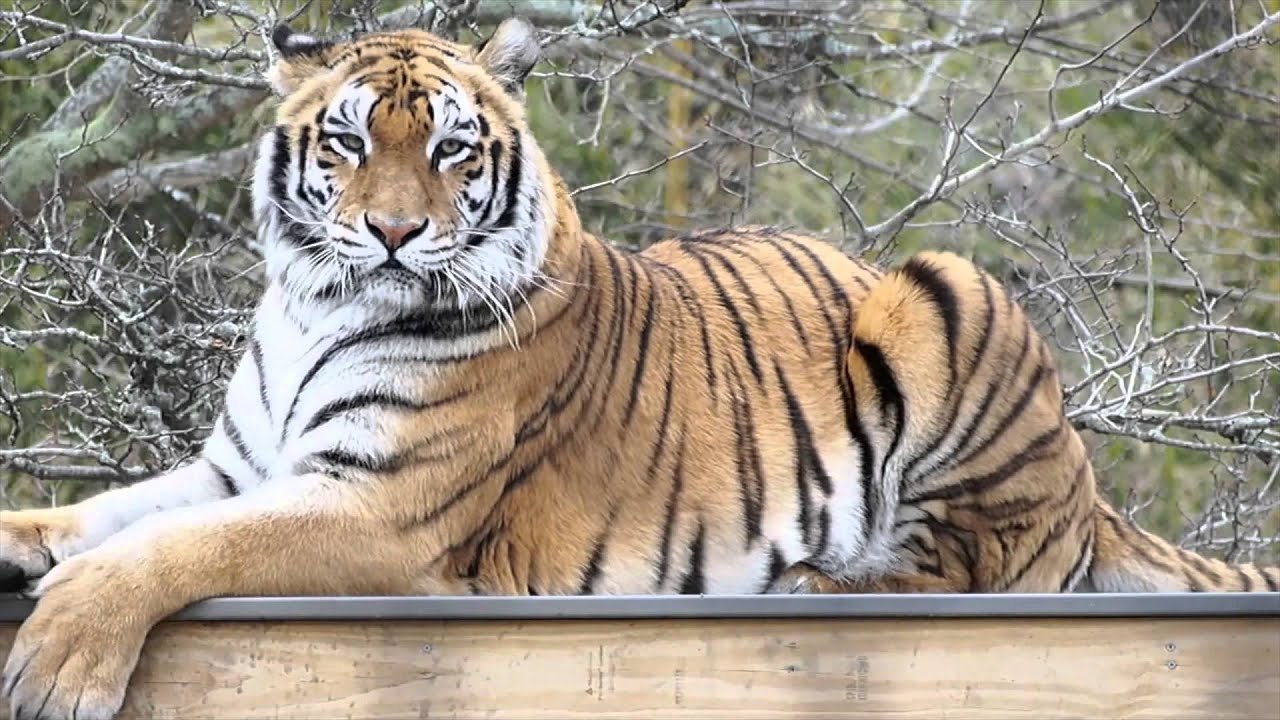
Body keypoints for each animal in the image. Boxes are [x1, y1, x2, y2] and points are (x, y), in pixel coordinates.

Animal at [1, 16, 1276, 720]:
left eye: (450, 148)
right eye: (349, 140)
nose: (394, 235)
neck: (319, 303)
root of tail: (1085, 487)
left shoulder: (380, 512)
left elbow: (178, 550)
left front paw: (58, 662)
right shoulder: (235, 467)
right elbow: (106, 516)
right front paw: (27, 541)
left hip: (946, 289)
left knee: (967, 569)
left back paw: (816, 582)